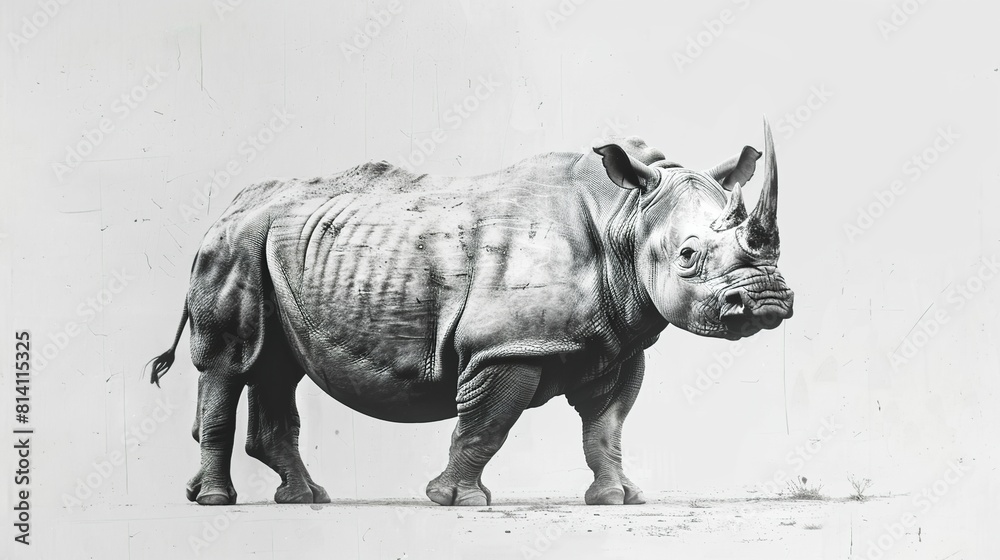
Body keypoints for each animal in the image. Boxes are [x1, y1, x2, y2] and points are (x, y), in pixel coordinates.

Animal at [149, 118, 793, 506]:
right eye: (687, 256)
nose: (766, 301)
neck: (625, 216)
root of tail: (224, 211)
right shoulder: (506, 347)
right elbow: (488, 424)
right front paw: (454, 501)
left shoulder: (619, 340)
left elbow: (605, 428)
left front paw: (618, 500)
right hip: (233, 247)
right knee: (229, 366)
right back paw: (220, 501)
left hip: (269, 249)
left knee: (276, 368)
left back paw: (305, 499)